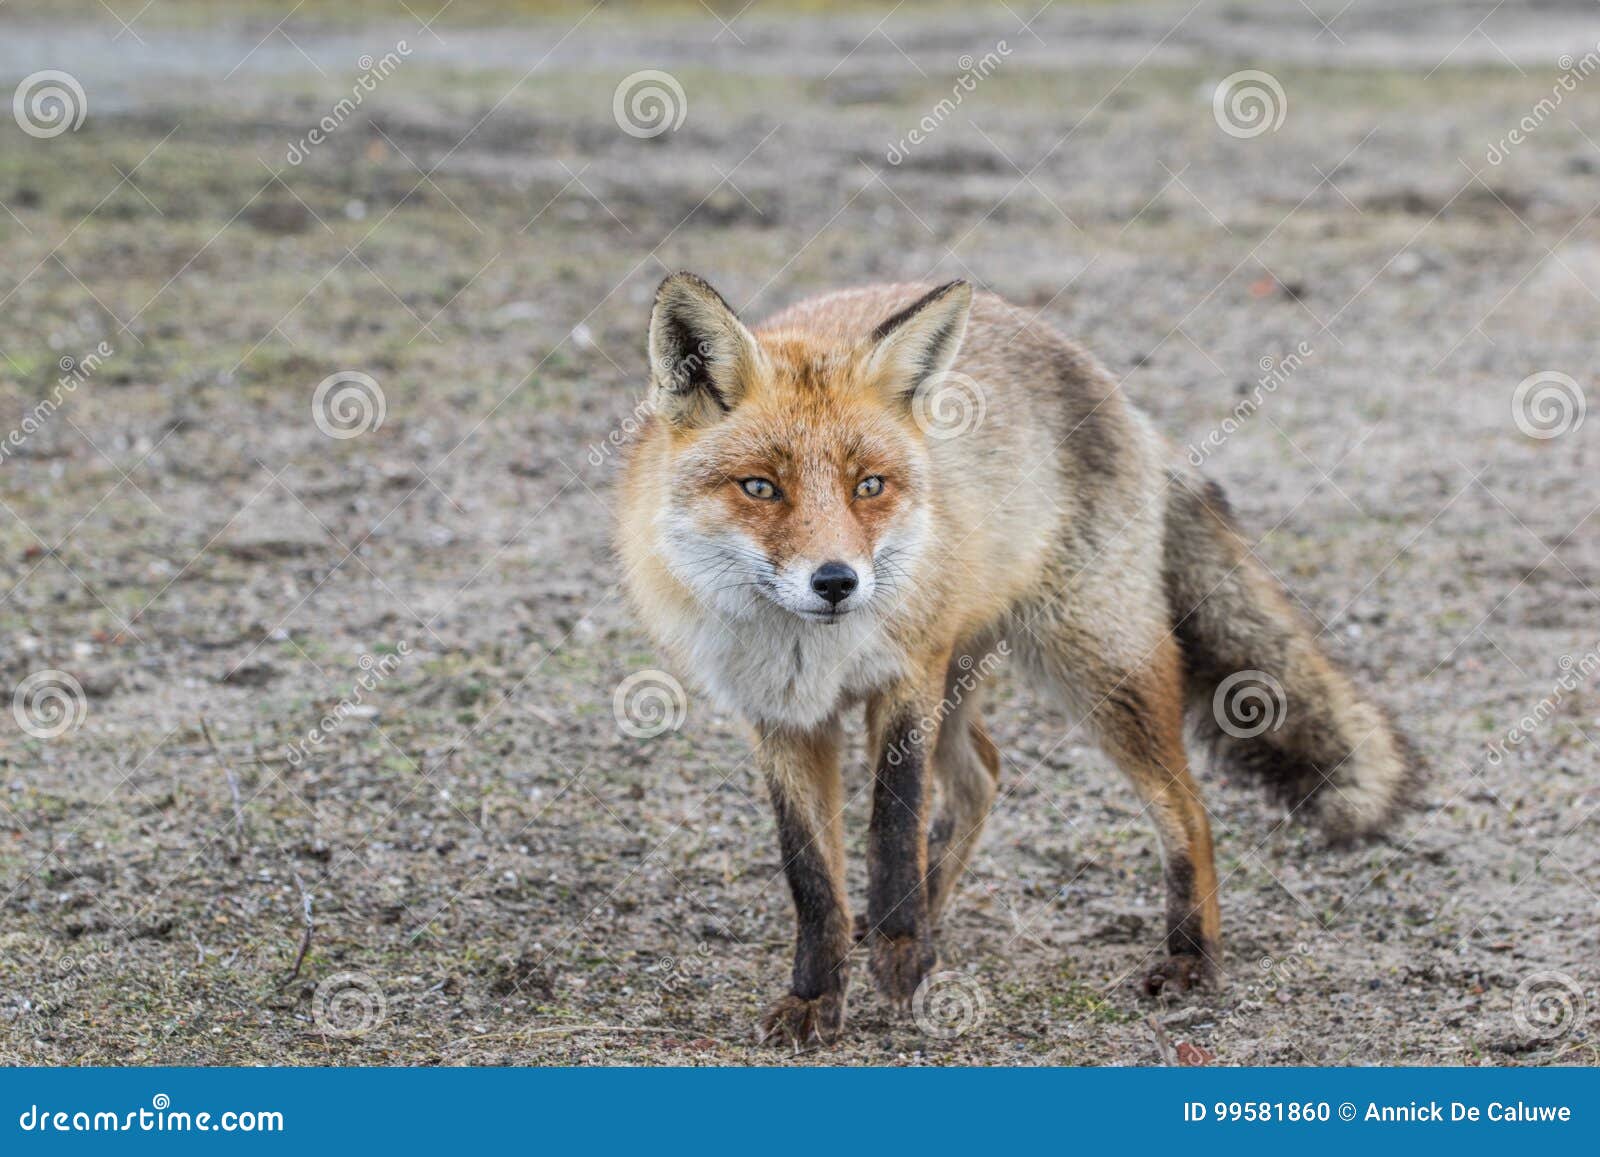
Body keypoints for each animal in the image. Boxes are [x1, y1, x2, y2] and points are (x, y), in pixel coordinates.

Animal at [615, 272, 1420, 1048]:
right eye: (760, 487)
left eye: (868, 485)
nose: (838, 581)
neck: (811, 651)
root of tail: (1101, 379)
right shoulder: (779, 717)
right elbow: (812, 875)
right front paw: (819, 992)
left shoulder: (906, 679)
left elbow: (893, 822)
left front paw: (905, 959)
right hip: (972, 675)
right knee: (984, 776)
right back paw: (913, 915)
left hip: (1093, 664)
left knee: (1187, 807)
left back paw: (1191, 956)